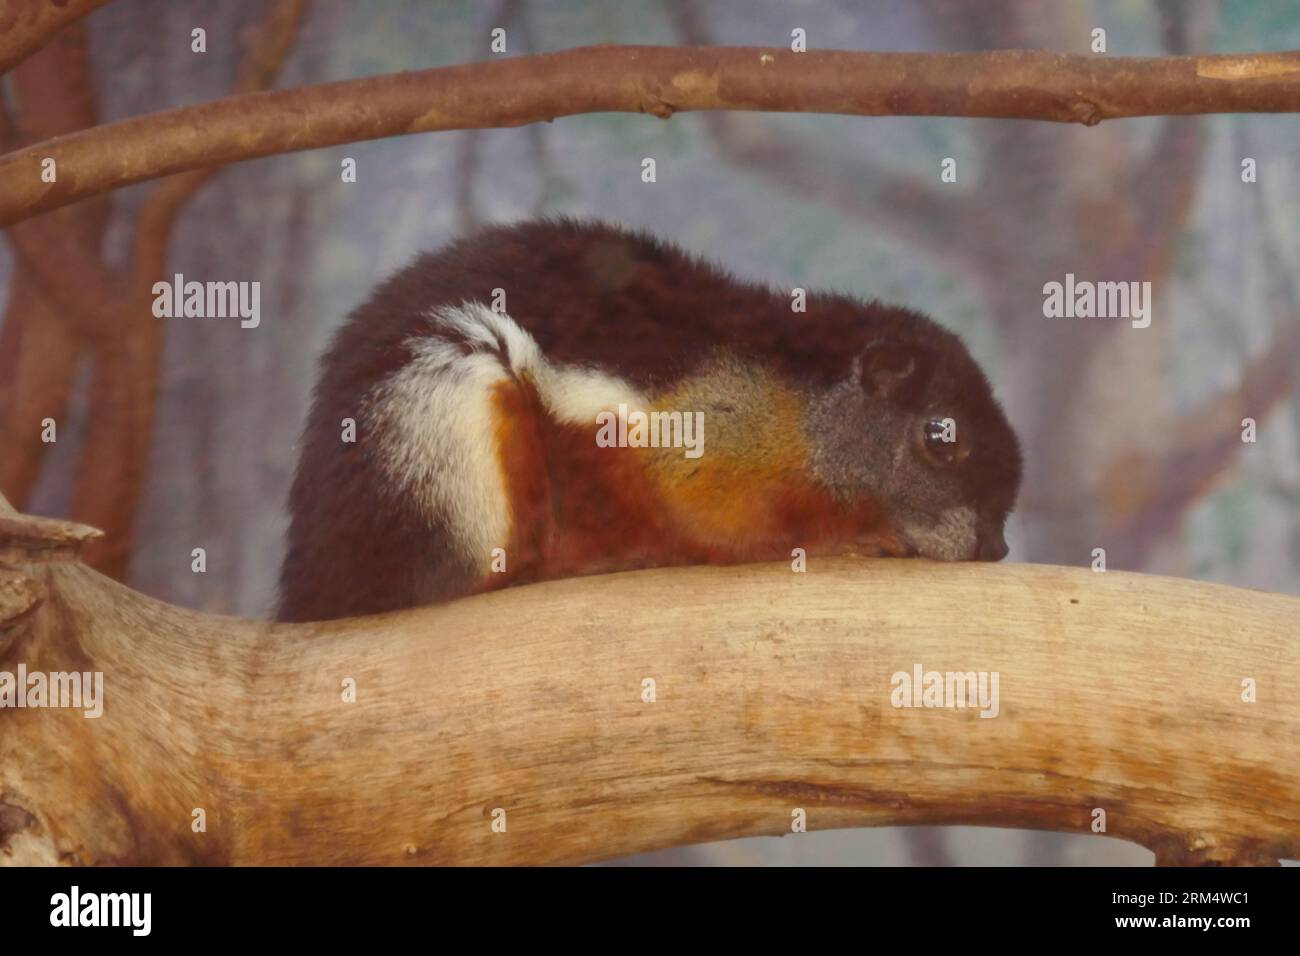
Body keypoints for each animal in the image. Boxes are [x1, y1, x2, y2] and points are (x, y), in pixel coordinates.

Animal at [276, 218, 1022, 622]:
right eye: (941, 438)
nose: (997, 547)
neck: (804, 412)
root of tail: (309, 583)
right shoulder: (708, 446)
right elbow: (733, 527)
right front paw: (860, 538)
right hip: (448, 423)